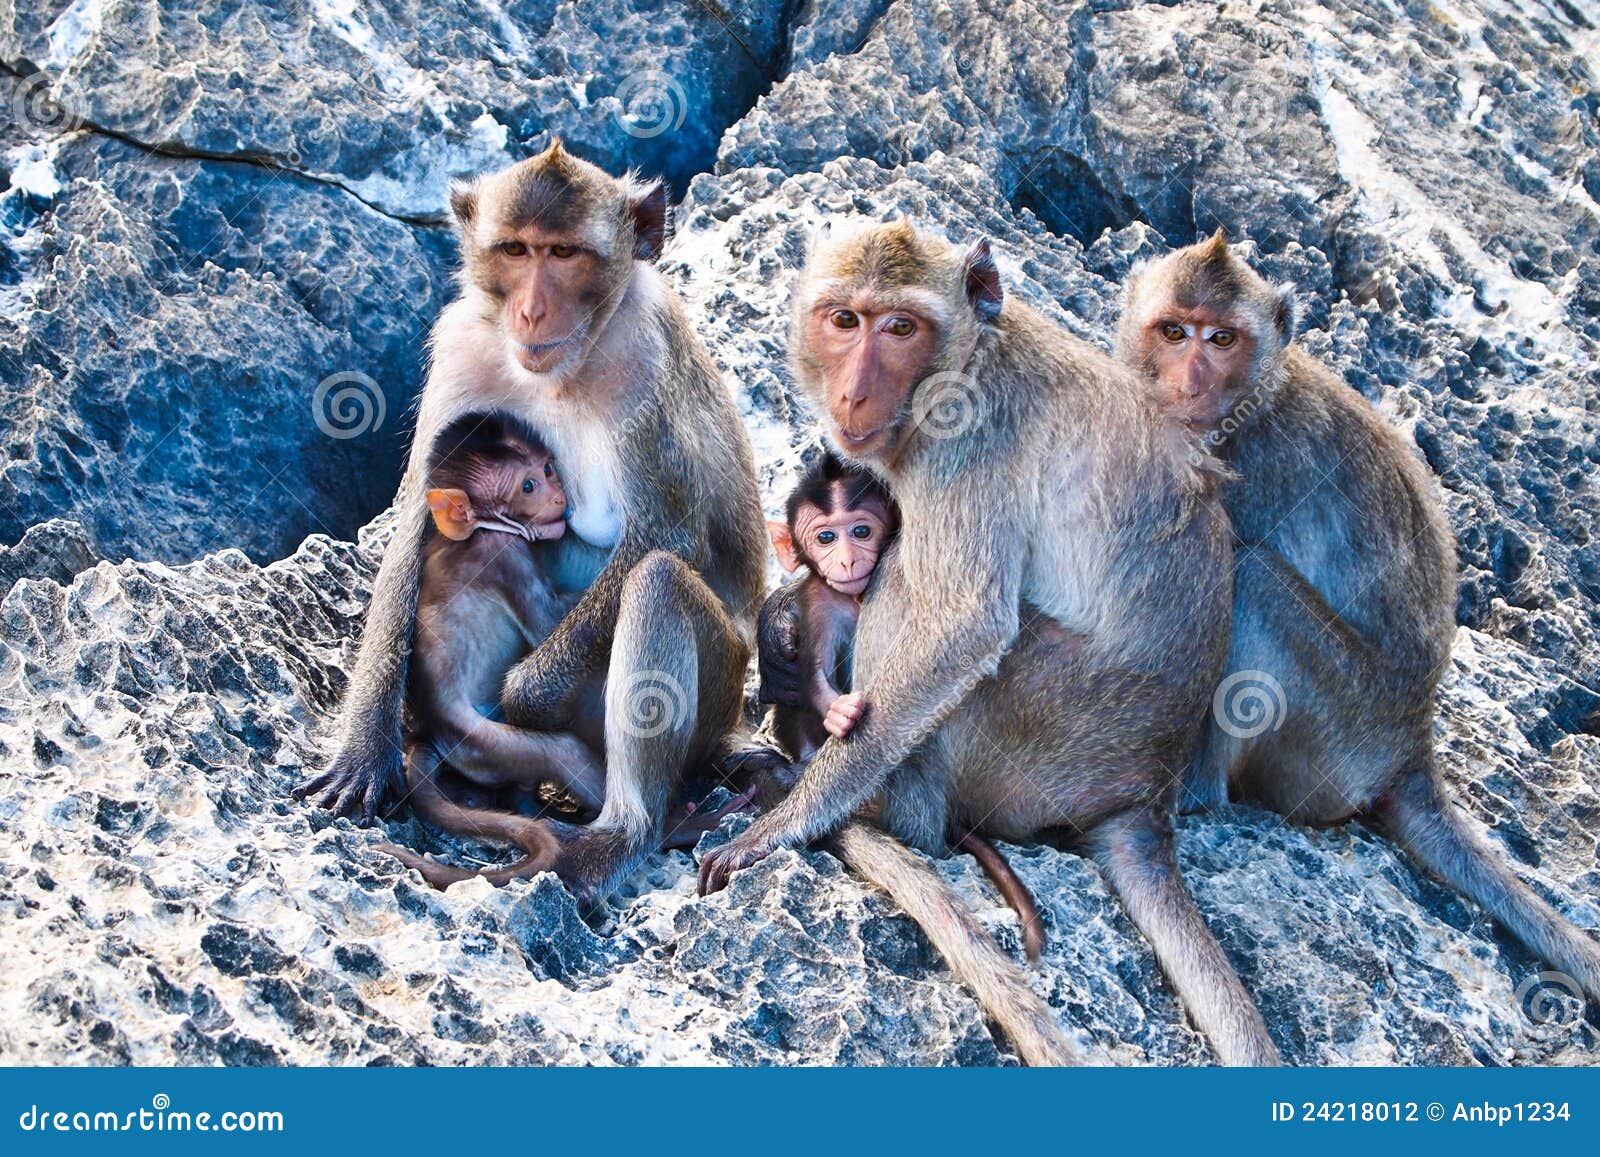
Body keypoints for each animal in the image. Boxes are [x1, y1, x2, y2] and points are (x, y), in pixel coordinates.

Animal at [298, 141, 767, 909]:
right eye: (516, 250)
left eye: (566, 253)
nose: (532, 306)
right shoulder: (462, 345)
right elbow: (411, 530)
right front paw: (364, 750)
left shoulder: (647, 358)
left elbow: (666, 535)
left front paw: (525, 695)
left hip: (721, 688)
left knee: (659, 583)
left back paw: (620, 837)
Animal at [751, 450, 1046, 961]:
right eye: (825, 537)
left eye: (861, 530)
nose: (848, 557)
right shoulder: (822, 604)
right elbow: (813, 674)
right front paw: (837, 711)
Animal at [1116, 230, 1600, 1010]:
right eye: (1174, 331)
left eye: (1222, 339)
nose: (1191, 381)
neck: (1258, 396)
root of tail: (1412, 745)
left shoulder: (1243, 466)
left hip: (1341, 729)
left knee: (1250, 580)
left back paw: (1197, 789)